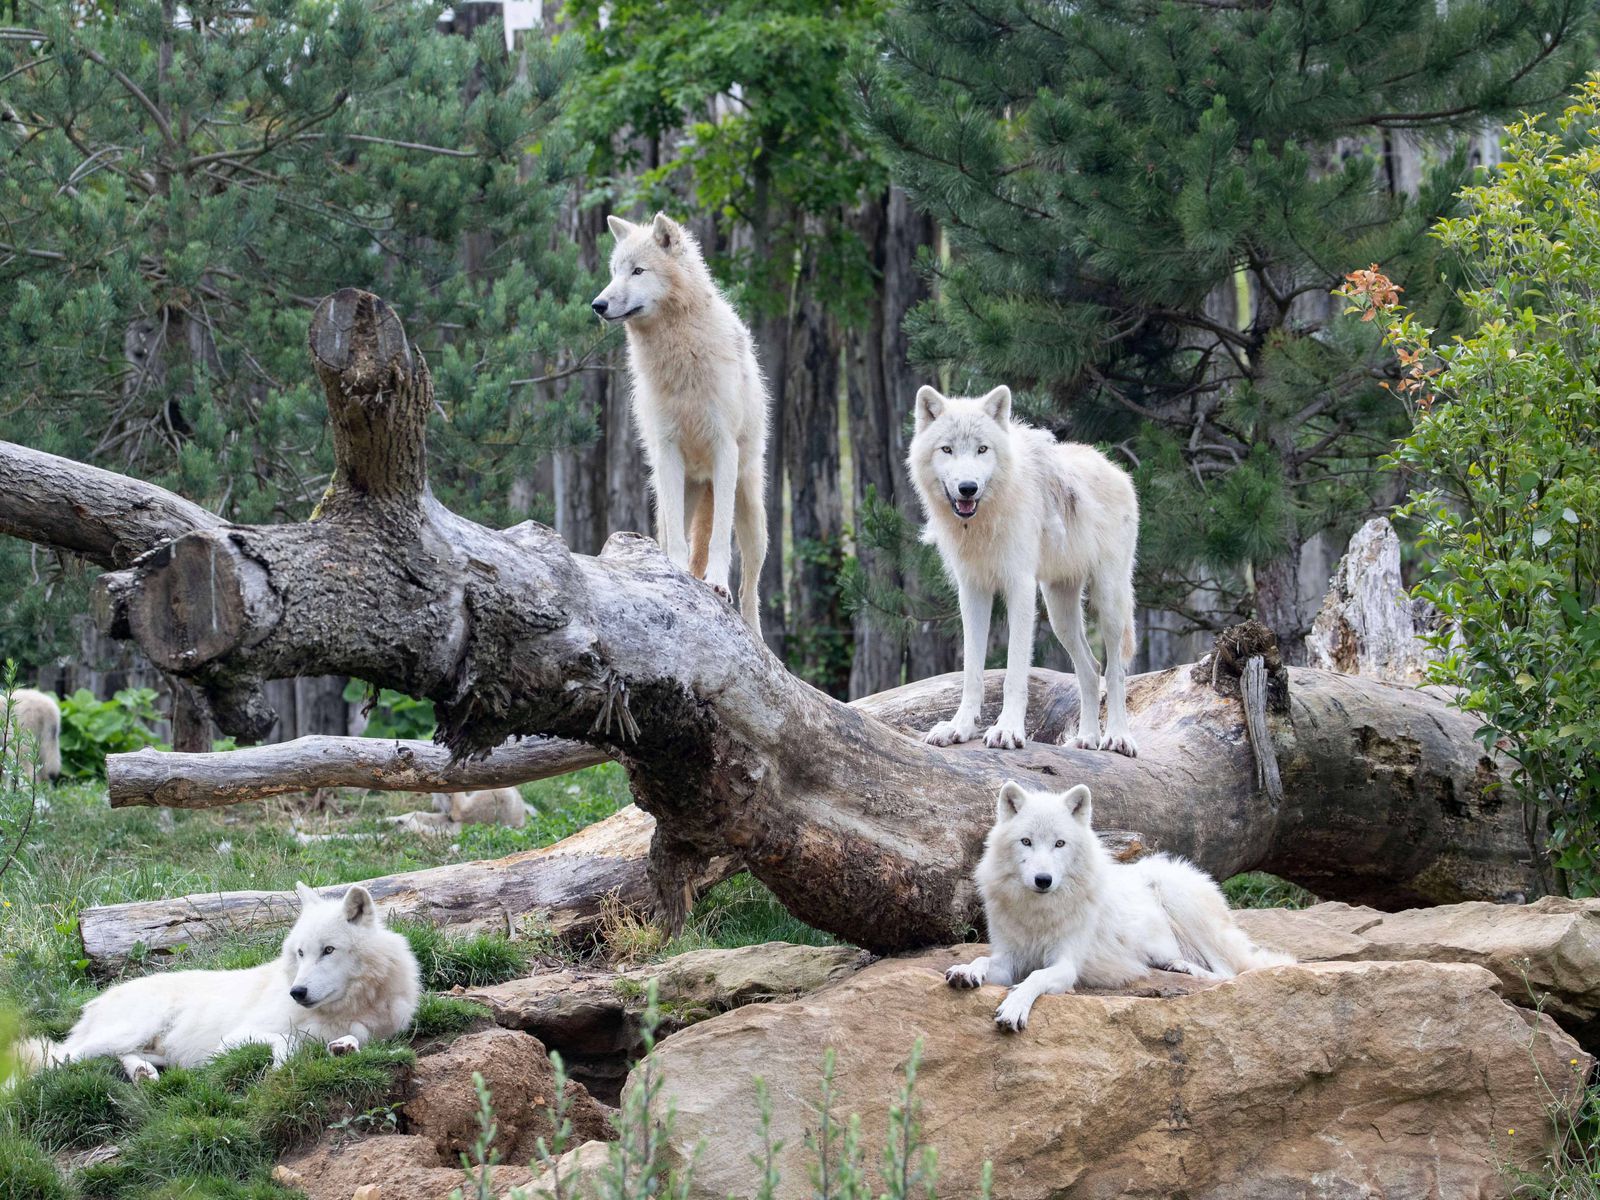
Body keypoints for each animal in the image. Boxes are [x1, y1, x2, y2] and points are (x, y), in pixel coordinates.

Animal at [27, 883, 420, 1080]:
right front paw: (281, 1066)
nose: (297, 992)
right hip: (124, 1032)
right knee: (57, 1057)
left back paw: (142, 1073)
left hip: (153, 1049)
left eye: (328, 950)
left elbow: (357, 1038)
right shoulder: (235, 1037)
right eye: (300, 953)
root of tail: (96, 1001)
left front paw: (344, 1046)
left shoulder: (380, 1031)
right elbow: (287, 1042)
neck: (353, 1005)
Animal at [592, 212, 770, 632]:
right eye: (614, 272)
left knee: (750, 591)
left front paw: (717, 584)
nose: (598, 304)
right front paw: (674, 572)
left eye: (638, 271)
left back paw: (758, 639)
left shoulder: (724, 449)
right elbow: (677, 537)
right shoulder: (667, 450)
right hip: (674, 493)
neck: (678, 356)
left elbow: (719, 539)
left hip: (752, 516)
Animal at [908, 385, 1140, 755]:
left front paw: (1007, 730)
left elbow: (1015, 671)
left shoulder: (1020, 587)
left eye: (982, 449)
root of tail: (1117, 470)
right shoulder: (972, 590)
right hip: (1060, 613)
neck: (983, 522)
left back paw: (1117, 737)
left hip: (1109, 602)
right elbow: (971, 671)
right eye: (947, 449)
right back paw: (1086, 739)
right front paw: (959, 728)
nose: (968, 488)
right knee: (1091, 669)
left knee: (1115, 671)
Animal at [948, 781, 1293, 1032]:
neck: (1039, 912)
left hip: (1174, 892)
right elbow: (983, 959)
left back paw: (1185, 968)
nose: (1043, 880)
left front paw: (1015, 1007)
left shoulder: (1066, 965)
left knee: (1229, 972)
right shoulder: (1008, 958)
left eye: (1059, 843)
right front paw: (966, 970)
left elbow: (1034, 978)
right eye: (1026, 841)